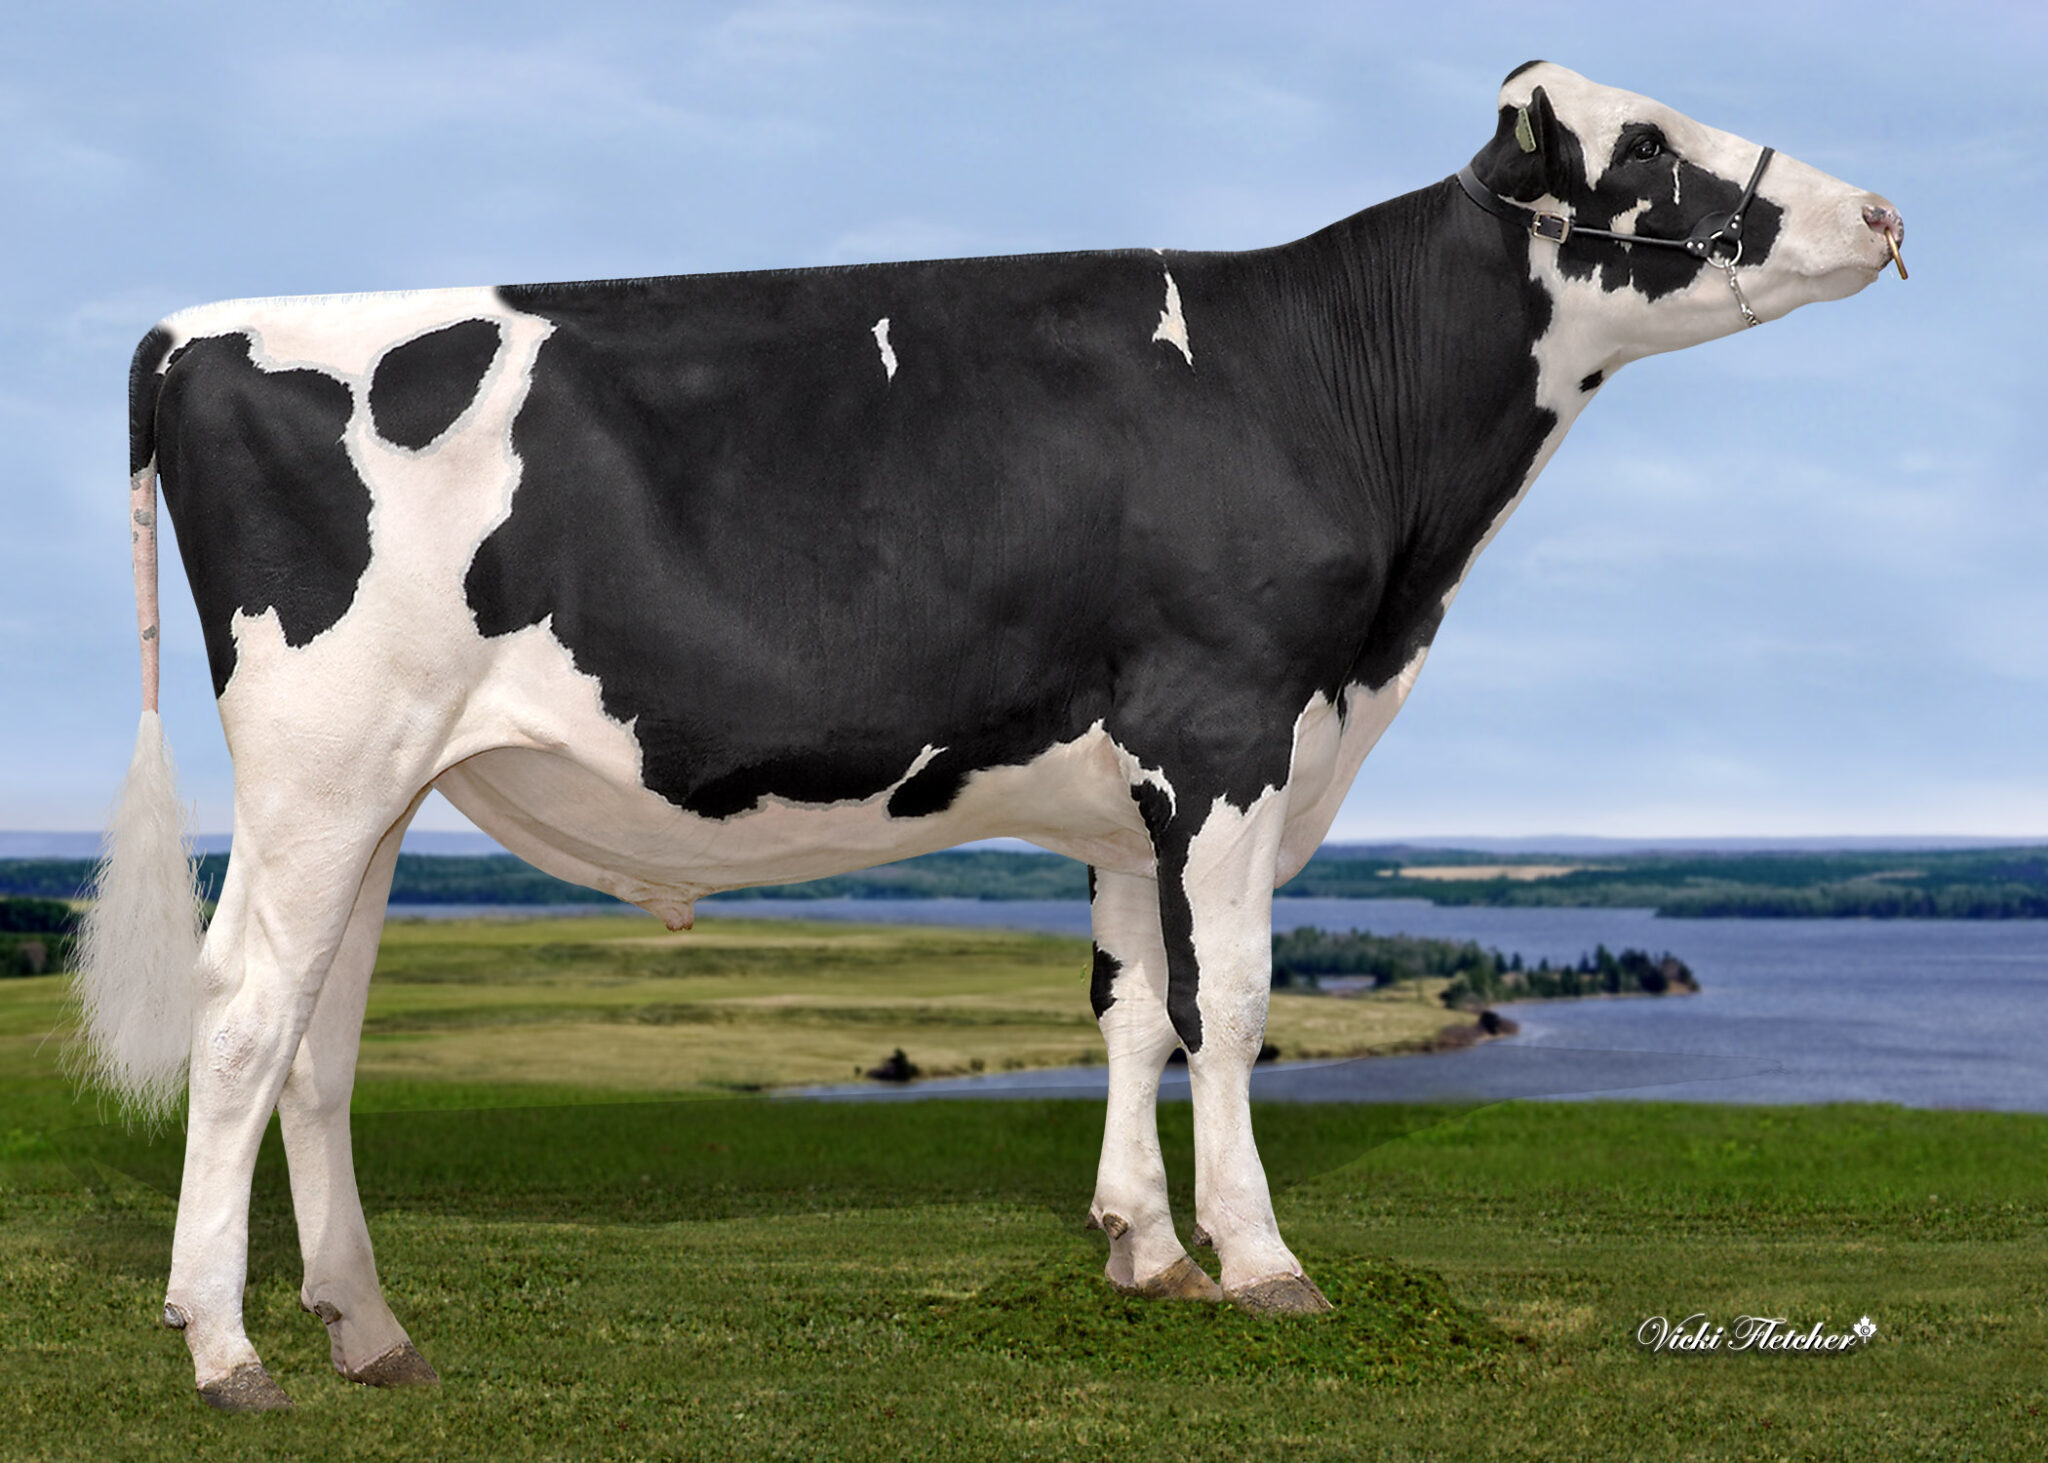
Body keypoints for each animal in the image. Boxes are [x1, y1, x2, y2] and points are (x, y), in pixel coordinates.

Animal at [76, 62, 1903, 1410]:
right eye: (1646, 141)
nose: (1885, 212)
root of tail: (198, 328)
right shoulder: (1227, 724)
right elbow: (1235, 1006)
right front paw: (1261, 1263)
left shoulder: (1128, 786)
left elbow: (1129, 1005)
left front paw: (1143, 1251)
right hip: (321, 759)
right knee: (243, 1010)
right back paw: (225, 1344)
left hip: (383, 785)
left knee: (318, 1029)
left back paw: (367, 1327)